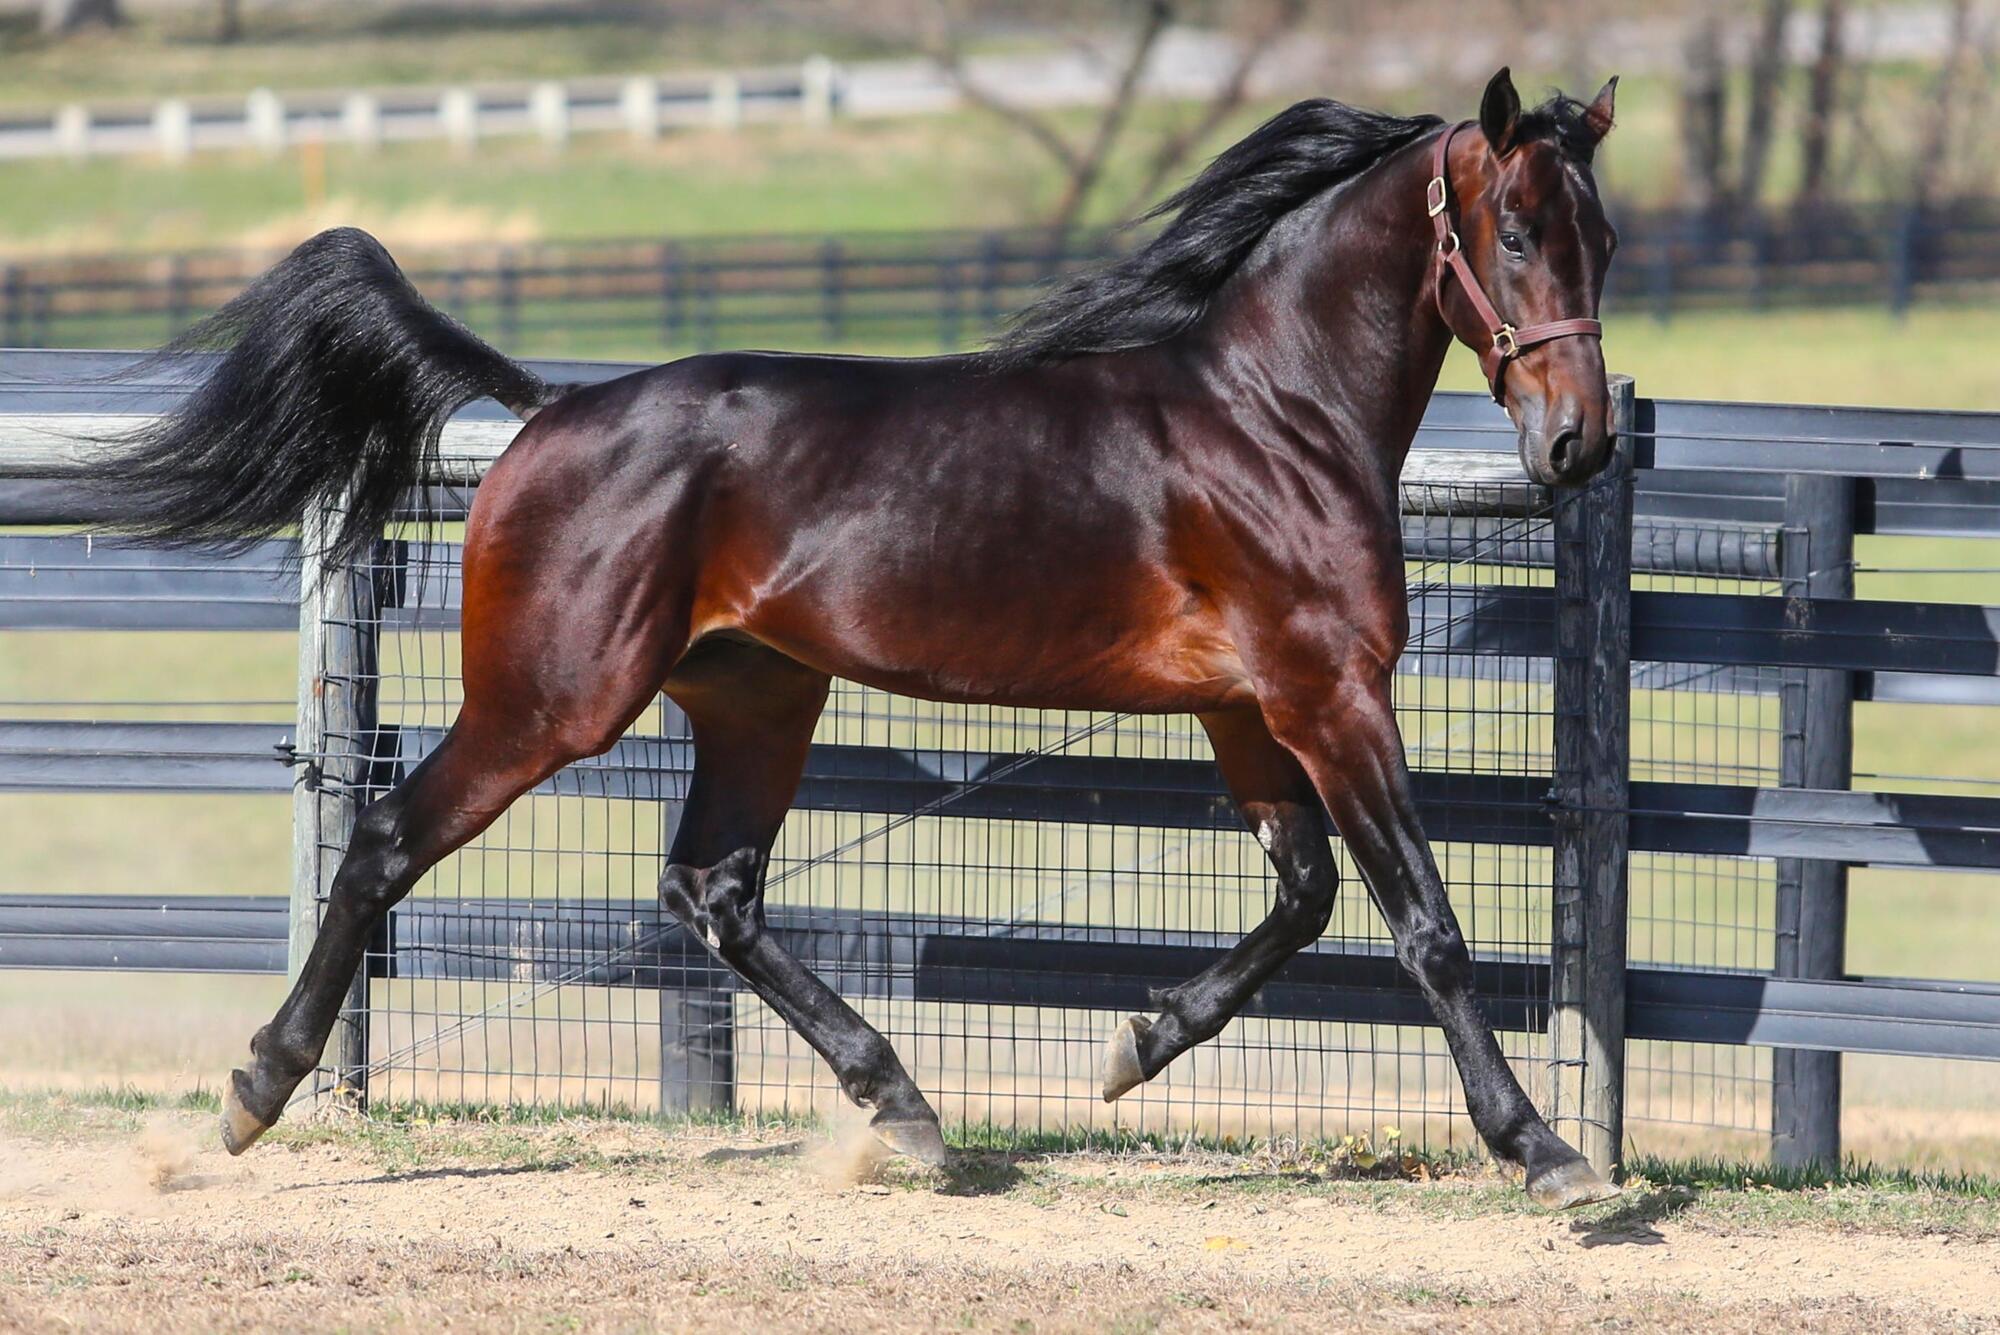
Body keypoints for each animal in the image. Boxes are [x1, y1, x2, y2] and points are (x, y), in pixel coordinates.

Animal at [75, 68, 1623, 1209]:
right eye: (1516, 233)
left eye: (1602, 241)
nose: (1580, 443)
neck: (1270, 414)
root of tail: (550, 409)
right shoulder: (1327, 693)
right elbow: (1424, 924)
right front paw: (1544, 1152)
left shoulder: (1247, 707)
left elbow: (1302, 897)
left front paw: (1132, 1046)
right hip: (554, 700)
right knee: (391, 840)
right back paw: (250, 1093)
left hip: (760, 696)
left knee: (715, 887)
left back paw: (914, 1111)